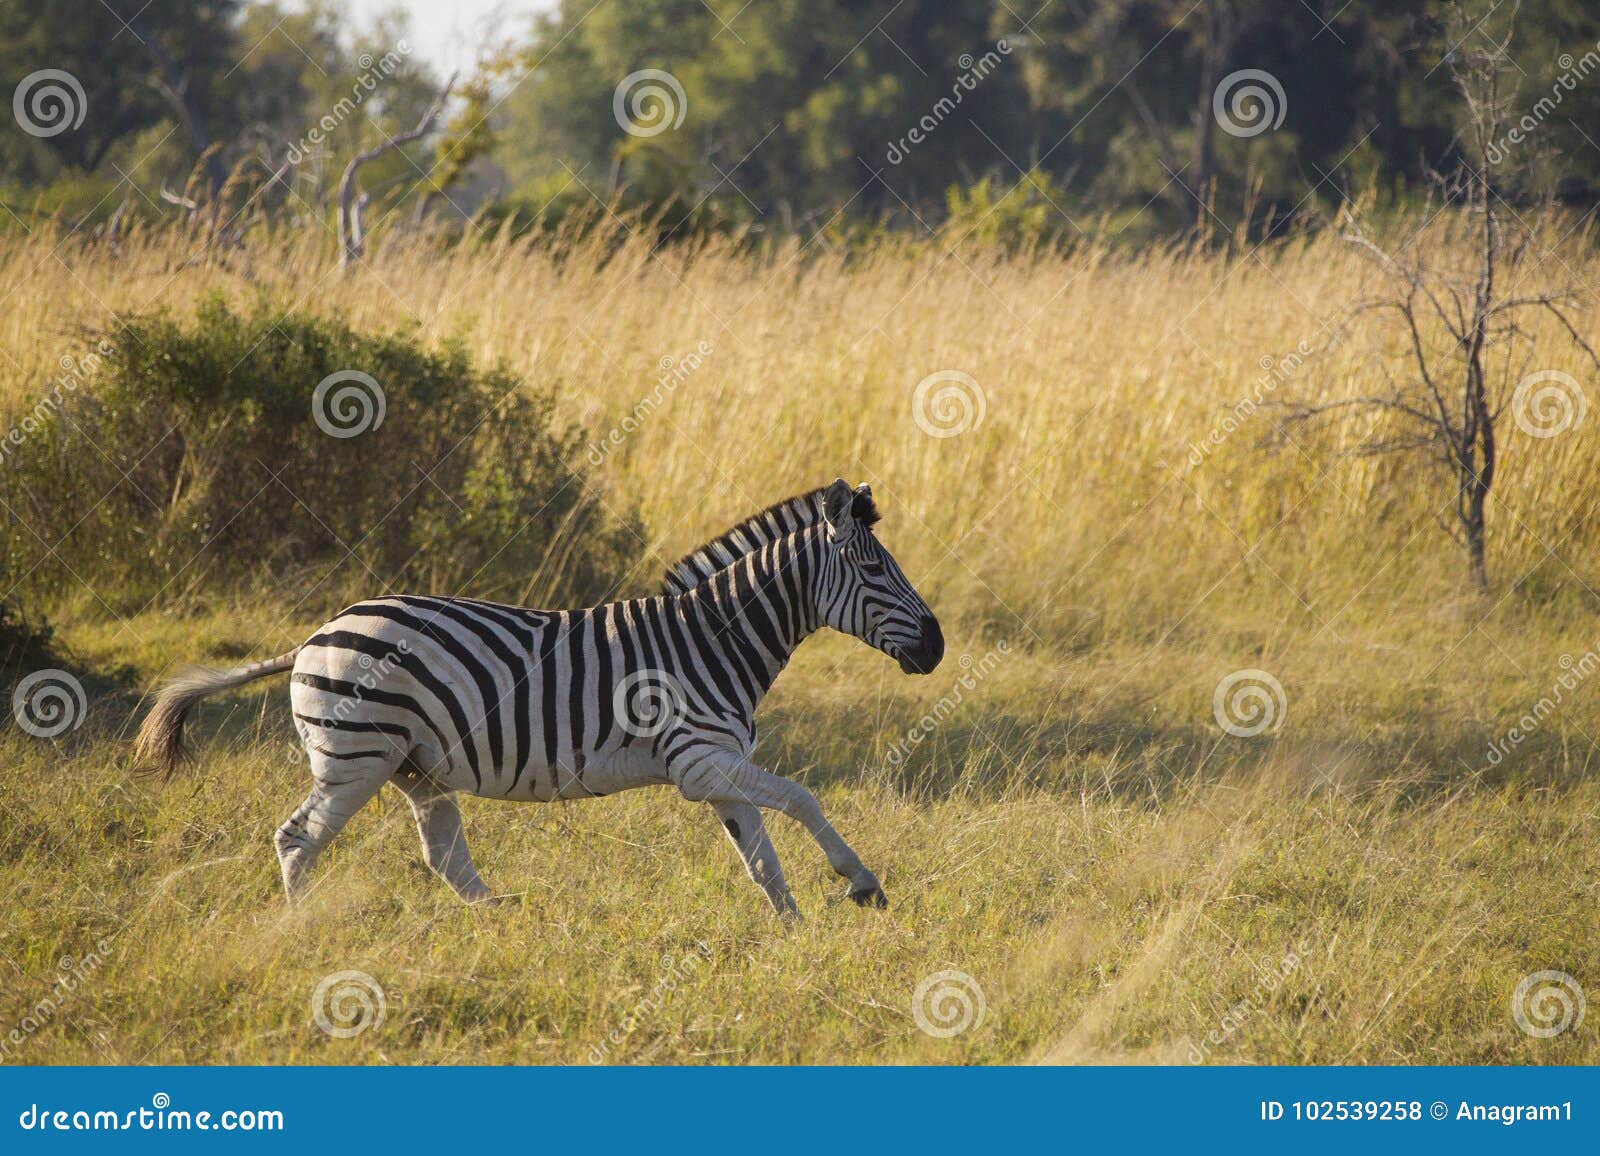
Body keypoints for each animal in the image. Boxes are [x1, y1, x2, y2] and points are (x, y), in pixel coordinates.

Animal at [136, 478, 943, 917]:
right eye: (876, 570)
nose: (936, 648)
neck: (713, 641)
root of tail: (311, 637)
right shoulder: (698, 763)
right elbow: (804, 798)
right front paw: (862, 884)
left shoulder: (714, 770)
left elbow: (762, 860)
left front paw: (792, 934)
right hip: (356, 759)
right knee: (298, 840)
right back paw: (303, 936)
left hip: (413, 768)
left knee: (444, 857)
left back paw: (501, 924)